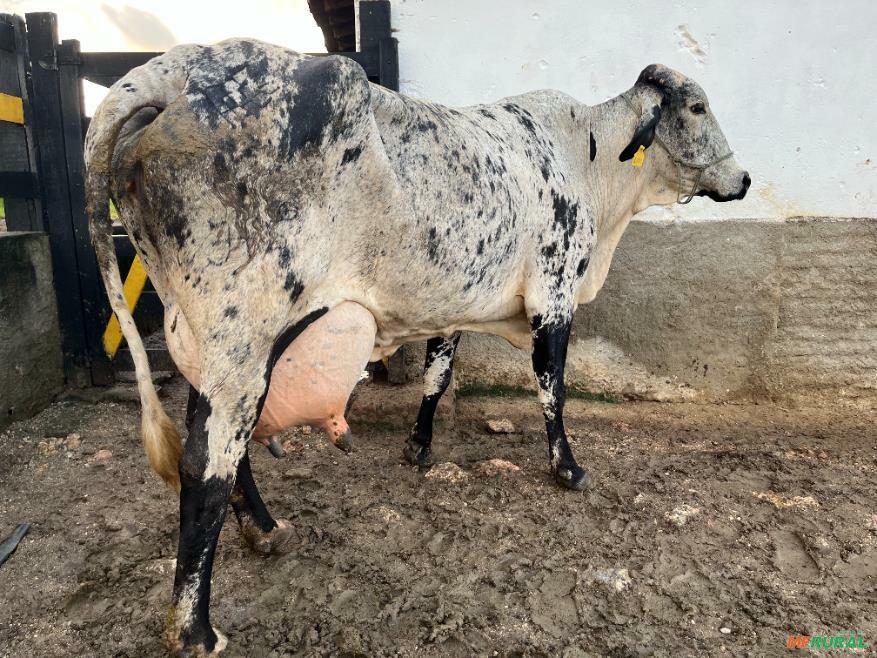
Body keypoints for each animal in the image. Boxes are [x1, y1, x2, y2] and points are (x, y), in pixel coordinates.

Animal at [84, 39, 749, 655]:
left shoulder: (450, 307)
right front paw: (568, 468)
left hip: (213, 340)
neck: (586, 159)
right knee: (207, 459)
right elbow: (552, 390)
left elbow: (437, 375)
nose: (743, 179)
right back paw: (195, 629)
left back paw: (266, 530)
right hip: (241, 329)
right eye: (696, 106)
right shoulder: (553, 297)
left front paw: (419, 446)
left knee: (223, 441)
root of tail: (171, 71)